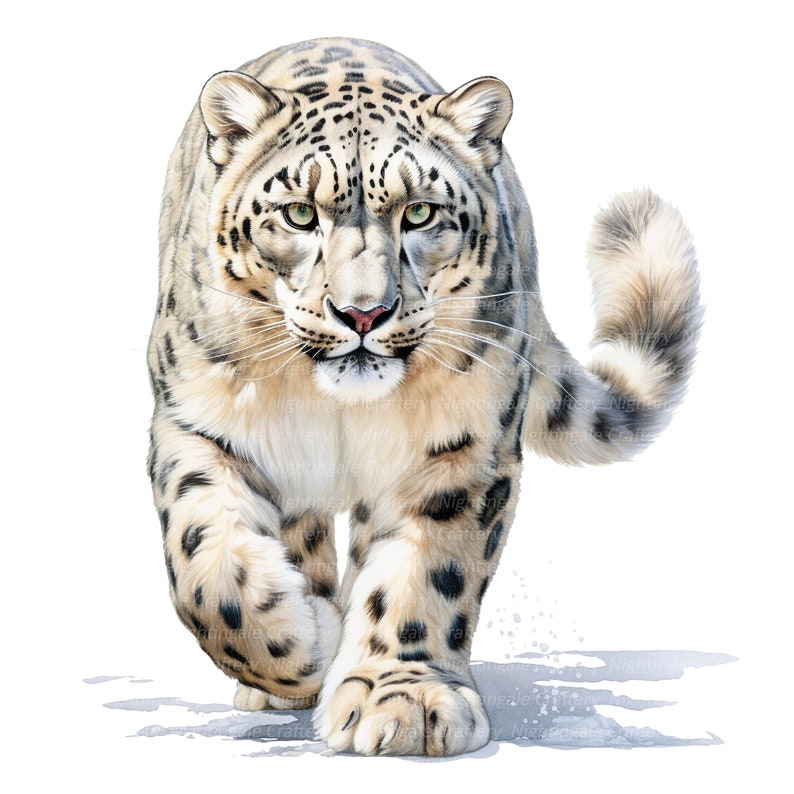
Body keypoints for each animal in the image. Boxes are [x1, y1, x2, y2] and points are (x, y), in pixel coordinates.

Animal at [147, 36, 702, 756]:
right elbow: (204, 571)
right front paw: (302, 642)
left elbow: (427, 575)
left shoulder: (463, 450)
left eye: (419, 212)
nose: (363, 312)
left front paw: (403, 699)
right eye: (299, 213)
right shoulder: (195, 424)